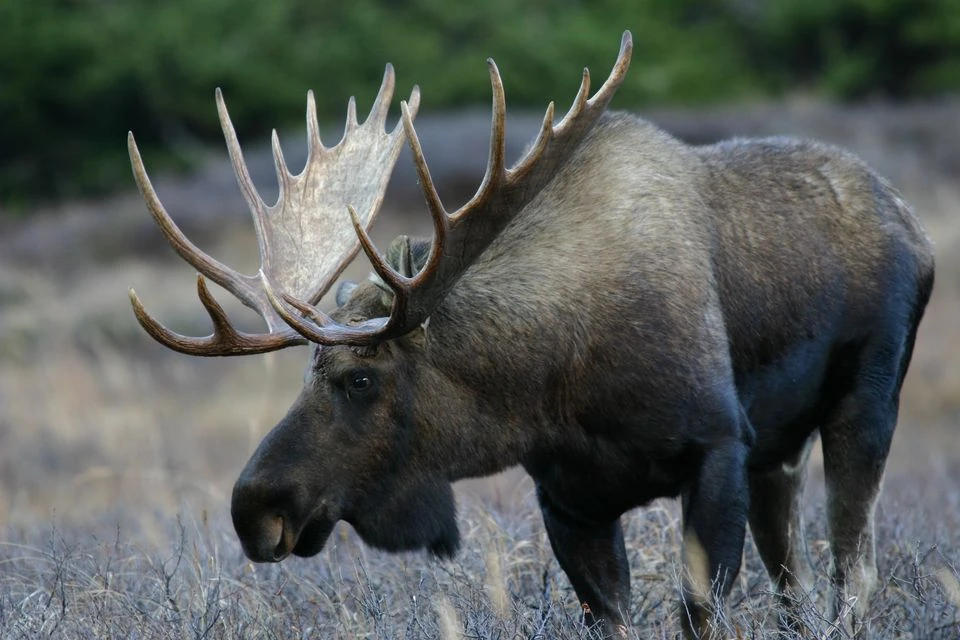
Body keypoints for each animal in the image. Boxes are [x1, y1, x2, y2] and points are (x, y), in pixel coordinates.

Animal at [127, 32, 934, 639]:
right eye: (309, 372)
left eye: (362, 378)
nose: (255, 507)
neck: (554, 387)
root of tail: (912, 222)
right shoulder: (569, 499)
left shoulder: (719, 448)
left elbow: (701, 613)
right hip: (781, 453)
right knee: (797, 585)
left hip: (865, 401)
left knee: (853, 572)